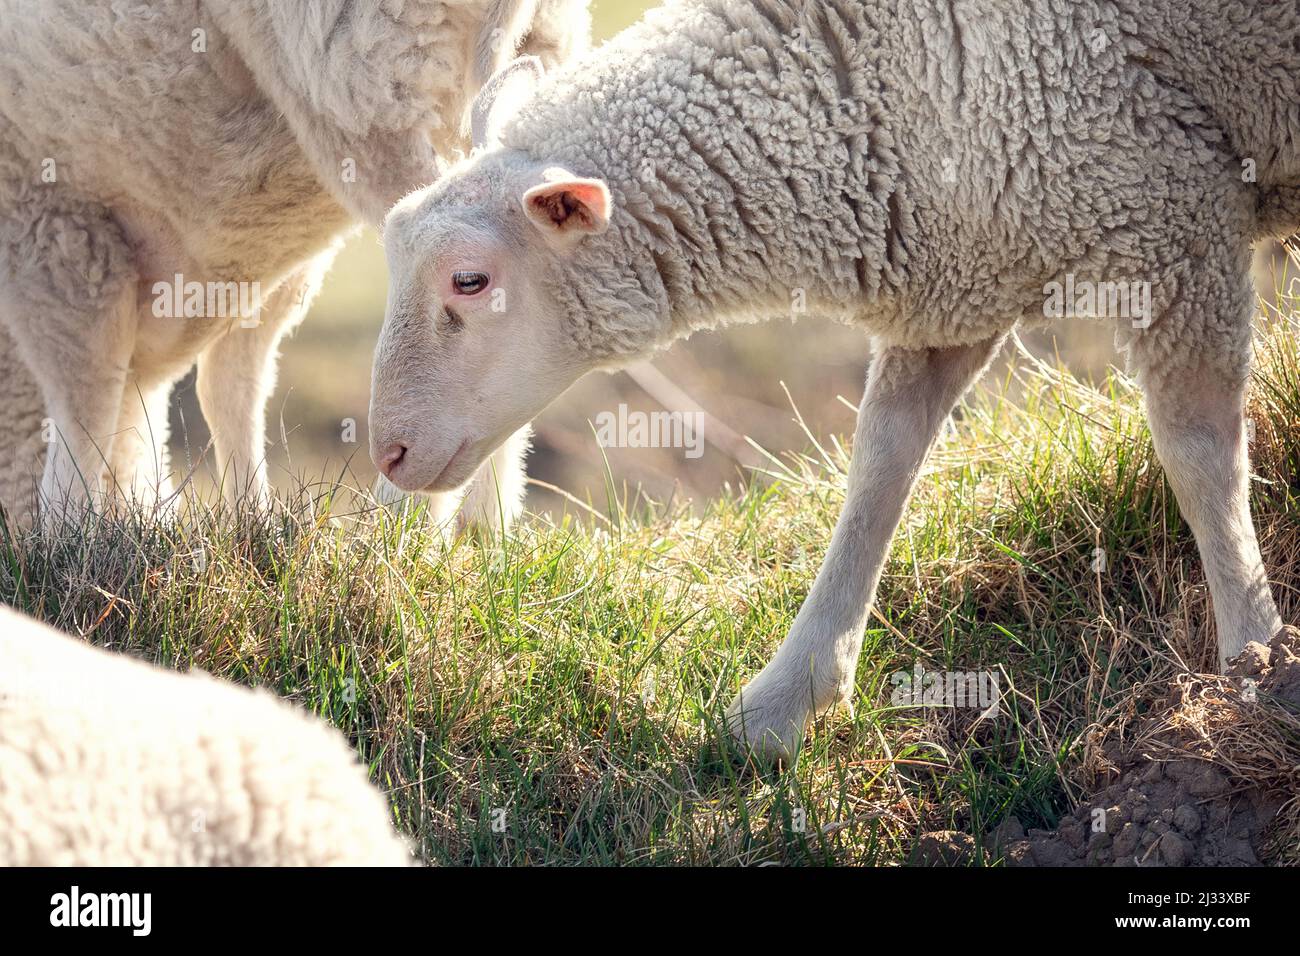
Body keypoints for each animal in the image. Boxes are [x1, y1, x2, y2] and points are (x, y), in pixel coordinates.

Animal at [0, 0, 591, 531]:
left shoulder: (52, 227)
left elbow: (85, 394)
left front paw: (63, 534)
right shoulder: (253, 258)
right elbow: (232, 382)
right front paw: (247, 520)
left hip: (369, 77)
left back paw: (400, 519)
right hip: (529, 66)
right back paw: (483, 530)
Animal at [367, 0, 1300, 761]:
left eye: (470, 281)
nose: (388, 454)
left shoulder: (1176, 229)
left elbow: (1201, 459)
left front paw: (1252, 664)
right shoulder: (956, 278)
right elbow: (879, 469)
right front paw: (787, 701)